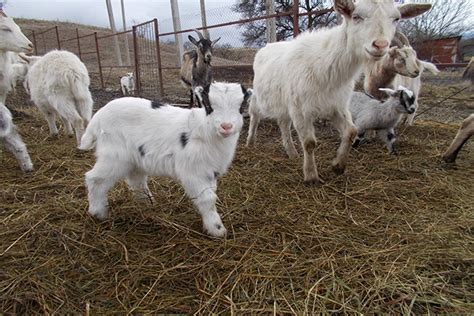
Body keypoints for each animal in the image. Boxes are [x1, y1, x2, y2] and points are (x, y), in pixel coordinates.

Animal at [246, 0, 432, 184]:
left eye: (396, 19)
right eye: (356, 17)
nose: (380, 45)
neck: (327, 67)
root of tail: (267, 46)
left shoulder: (337, 106)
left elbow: (351, 132)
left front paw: (338, 166)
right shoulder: (301, 109)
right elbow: (309, 143)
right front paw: (311, 176)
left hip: (285, 103)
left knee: (283, 123)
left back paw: (292, 152)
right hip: (260, 97)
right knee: (255, 115)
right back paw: (250, 142)